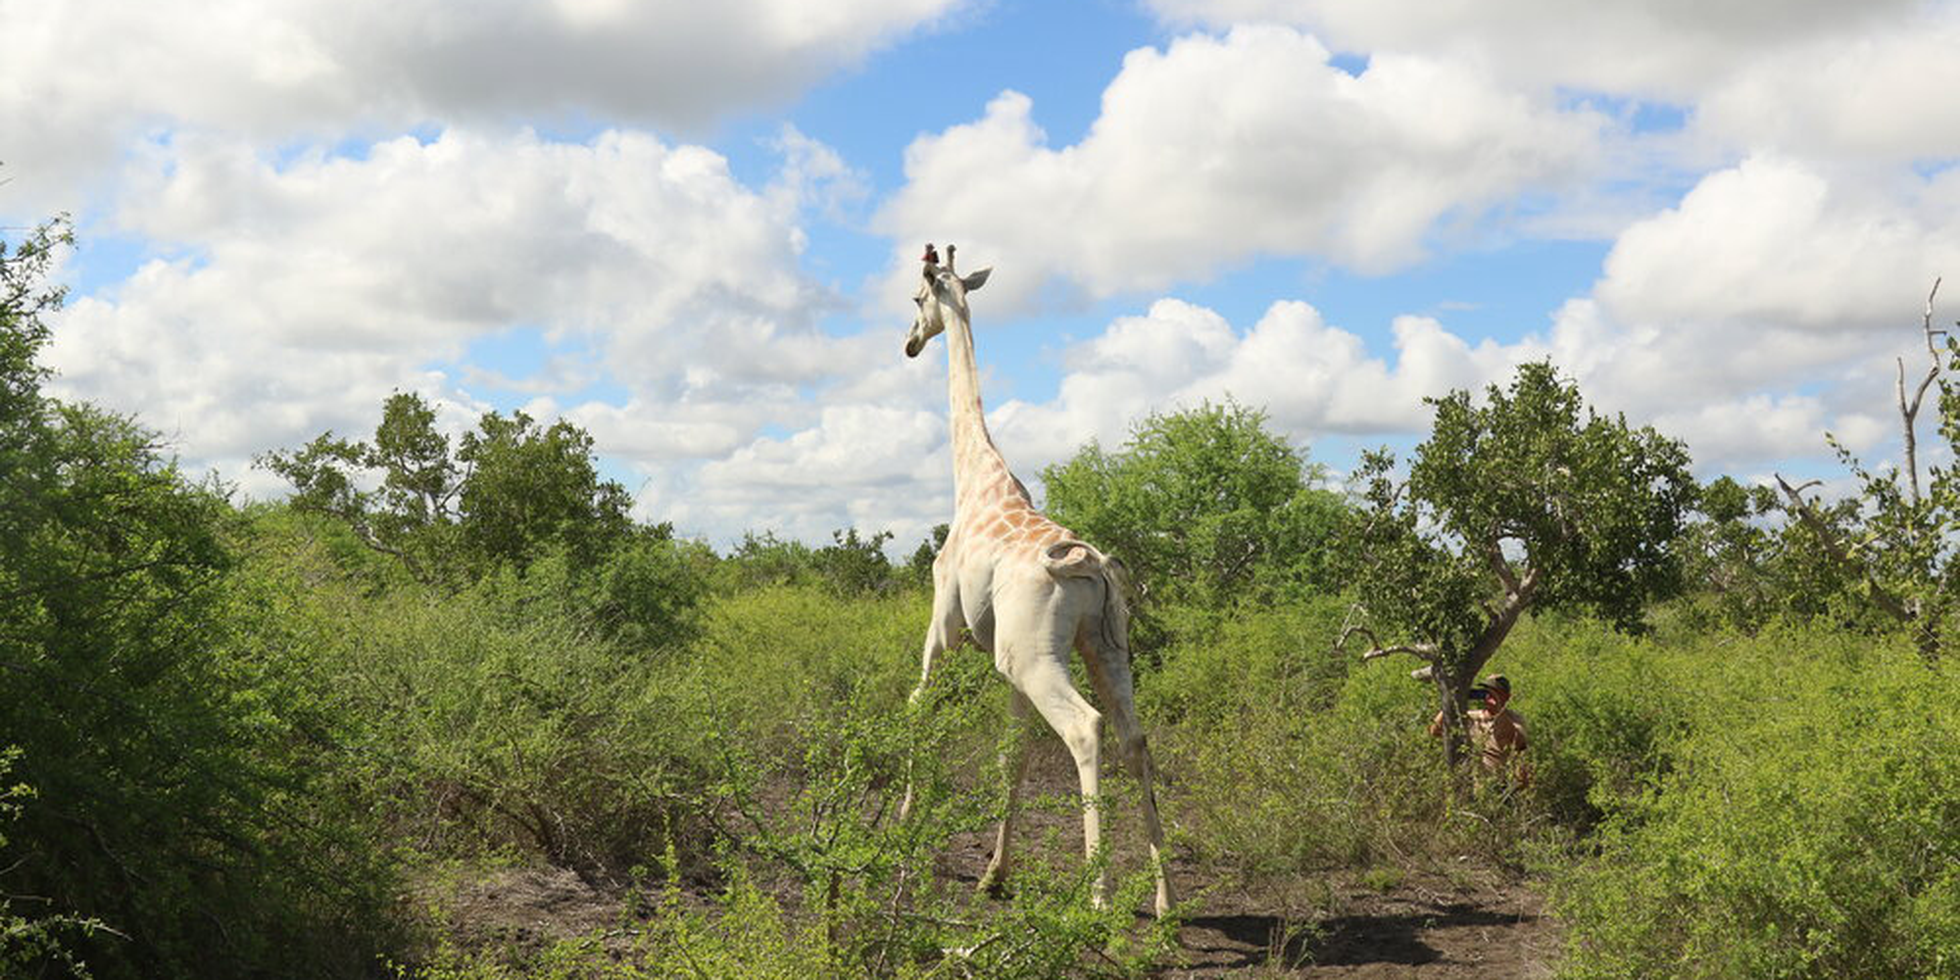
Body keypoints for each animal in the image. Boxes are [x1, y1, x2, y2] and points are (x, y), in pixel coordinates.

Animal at [899, 243, 1173, 916]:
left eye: (917, 299)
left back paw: (1099, 900)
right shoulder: (1005, 664)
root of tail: (1091, 566)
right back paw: (1164, 902)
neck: (974, 477)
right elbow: (1011, 755)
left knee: (1086, 729)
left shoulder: (944, 629)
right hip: (1101, 646)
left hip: (1039, 657)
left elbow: (919, 704)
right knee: (1135, 738)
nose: (910, 343)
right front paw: (994, 875)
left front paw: (904, 824)